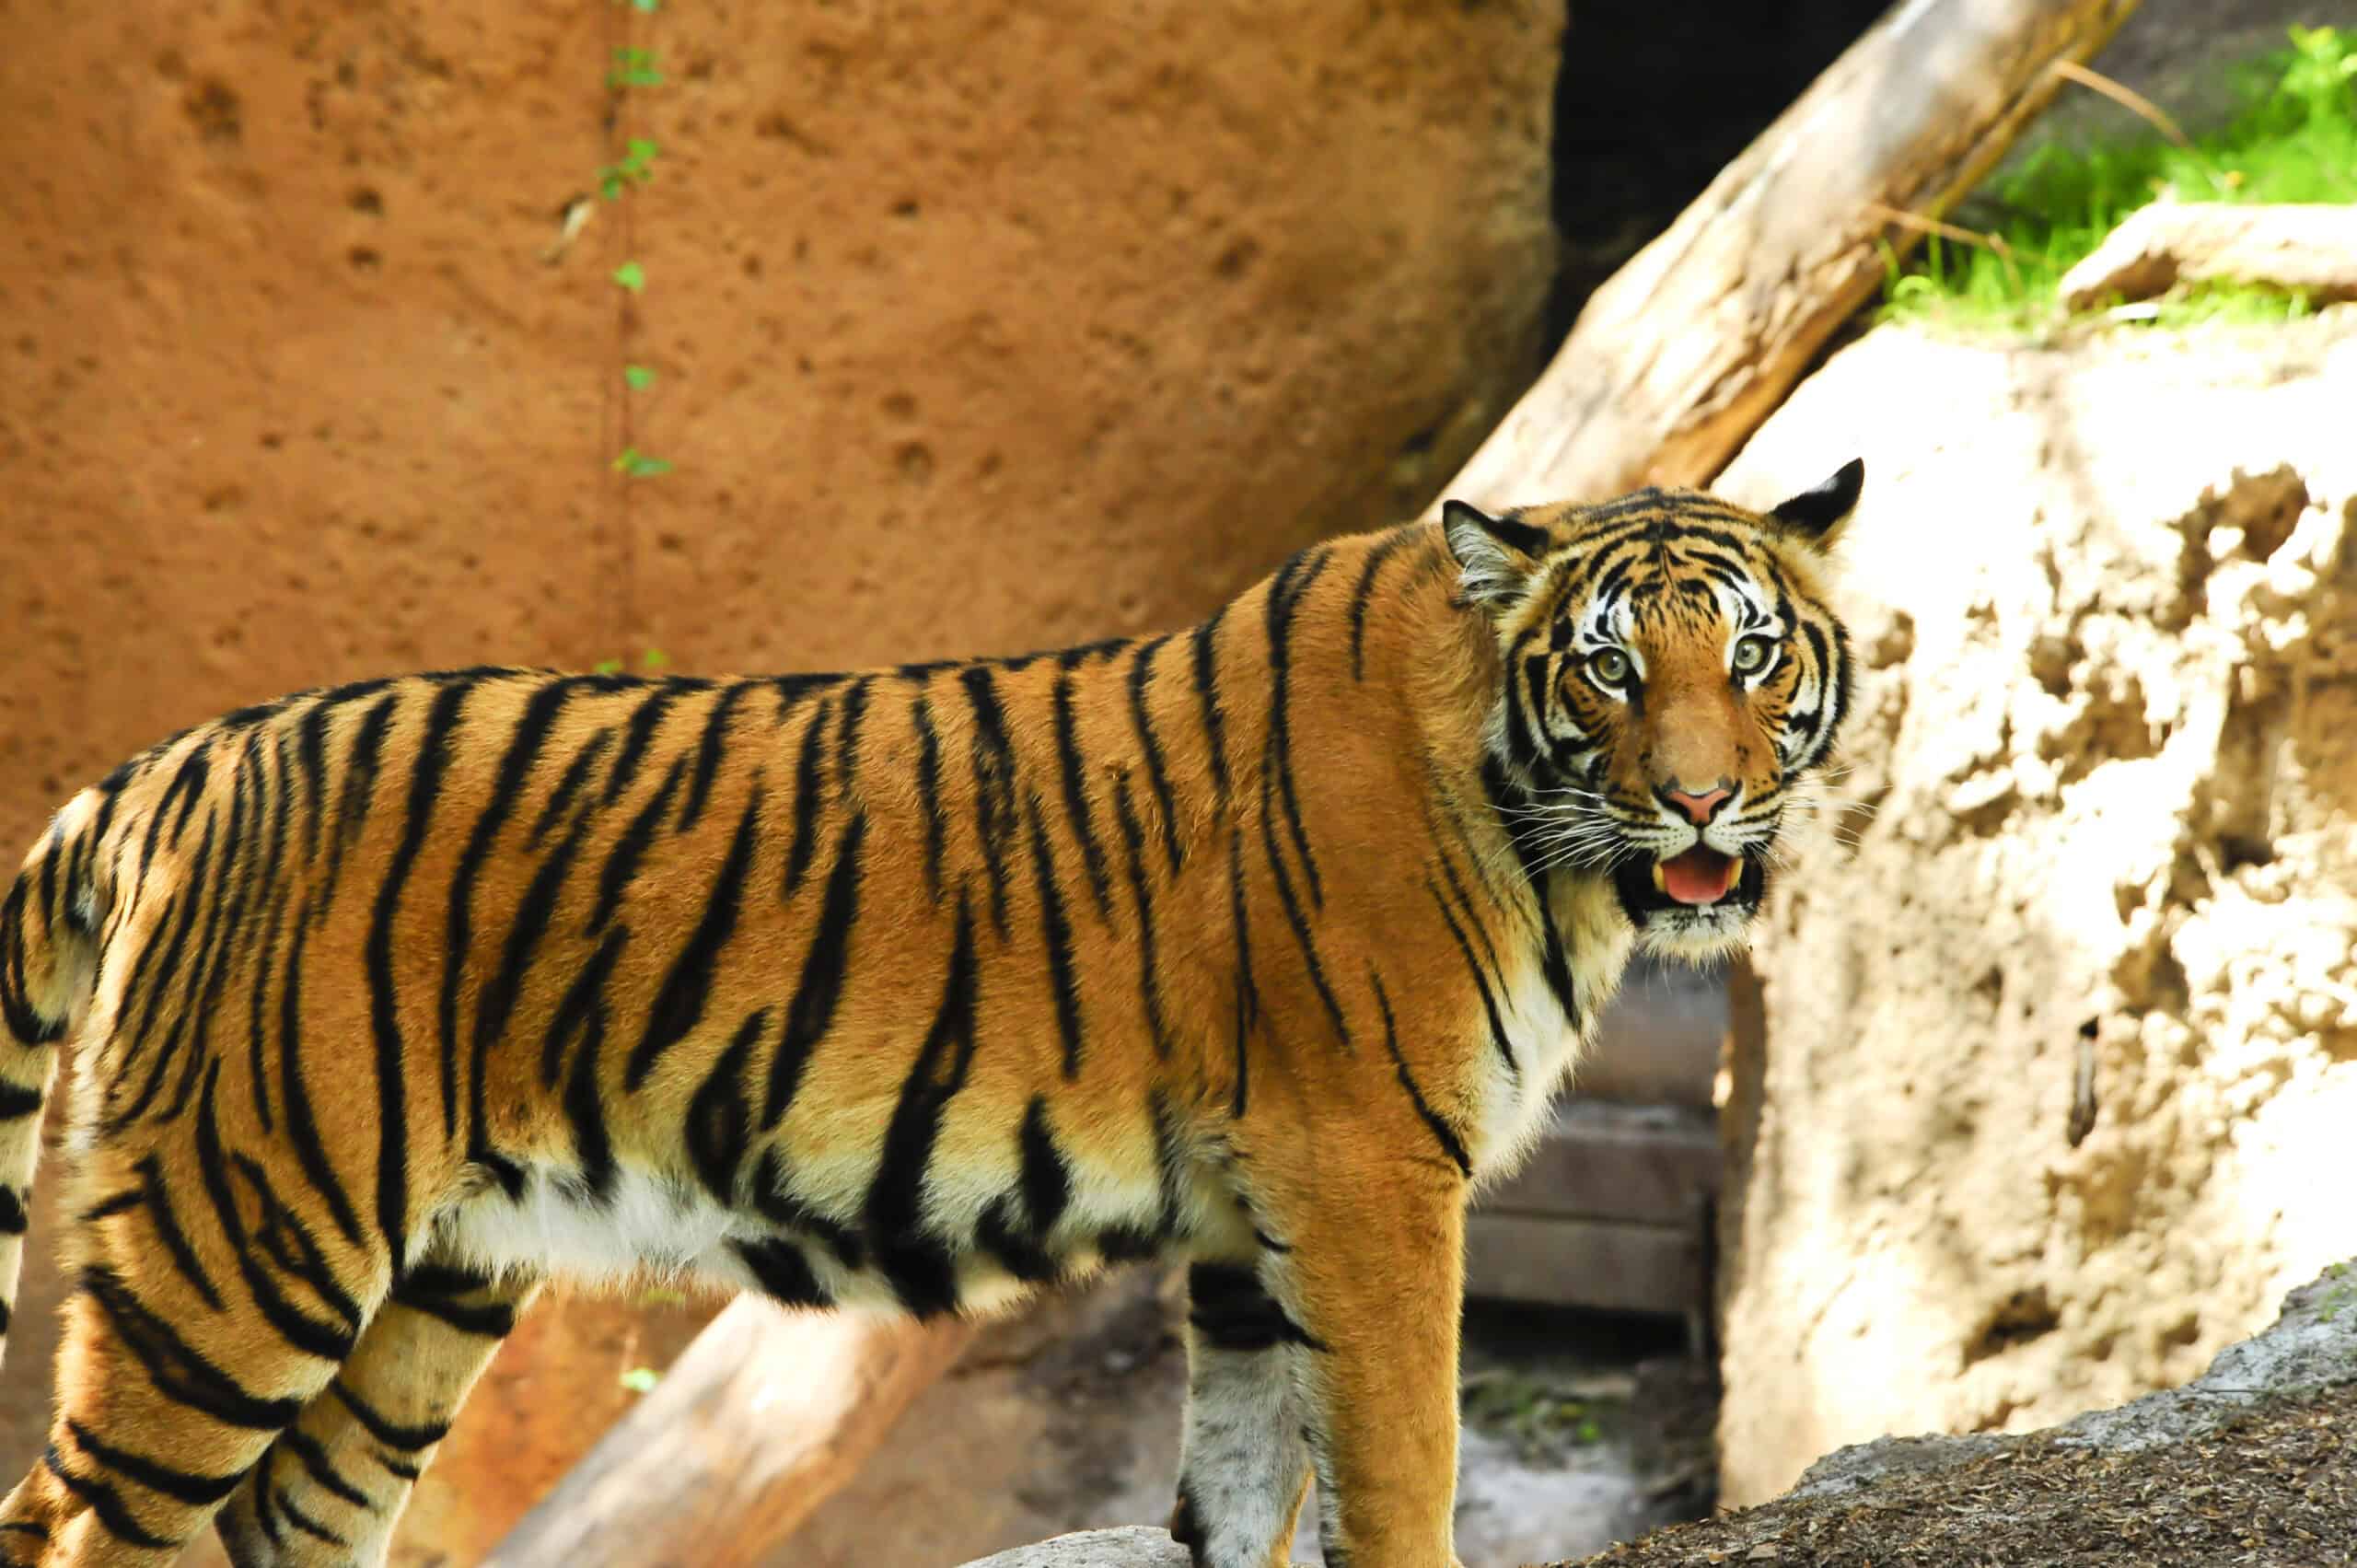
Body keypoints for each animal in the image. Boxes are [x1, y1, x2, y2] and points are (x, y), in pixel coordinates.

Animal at [0, 461, 1862, 1568]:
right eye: (1610, 667)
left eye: (1753, 656)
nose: (1700, 801)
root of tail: (160, 768)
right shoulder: (1366, 1173)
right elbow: (1400, 1467)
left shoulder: (1259, 1213)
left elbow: (1246, 1484)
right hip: (245, 1243)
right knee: (76, 1522)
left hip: (428, 1285)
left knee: (283, 1521)